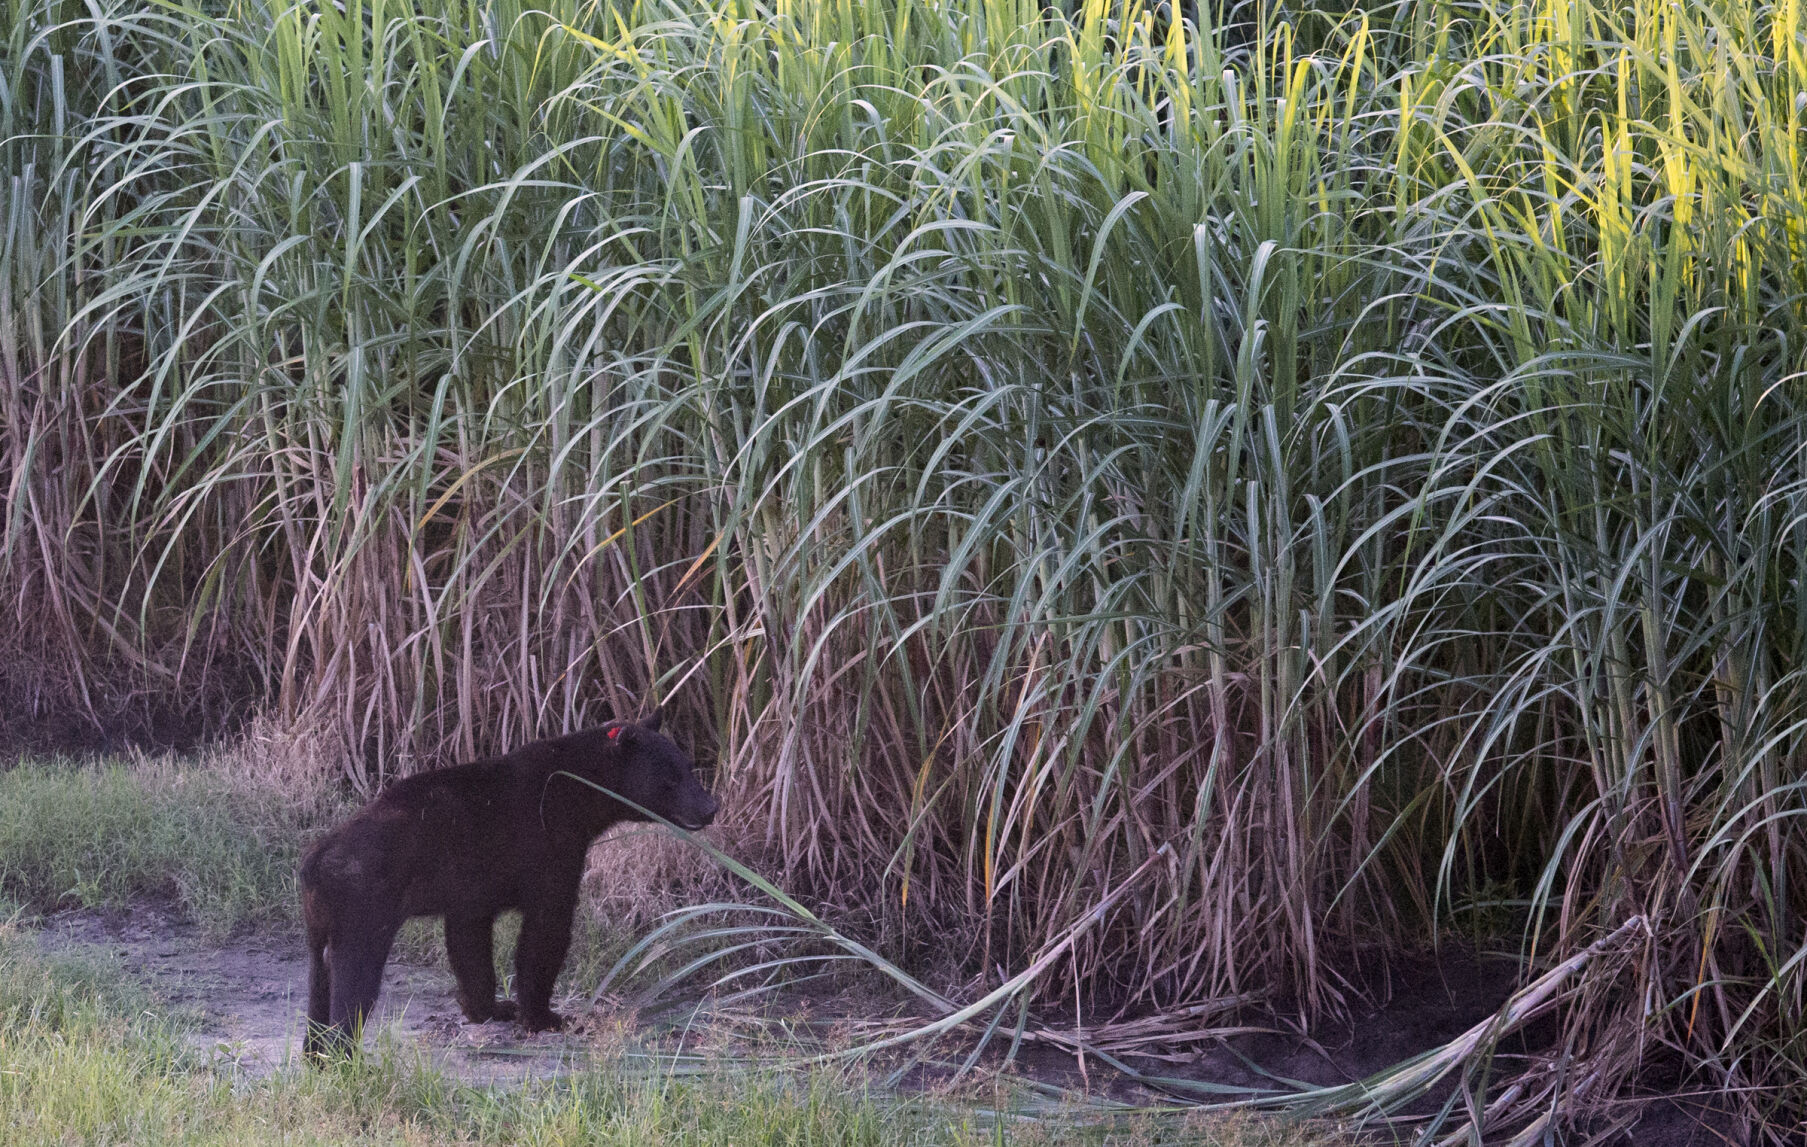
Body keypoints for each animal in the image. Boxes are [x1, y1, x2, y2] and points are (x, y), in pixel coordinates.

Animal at [299, 709, 717, 1059]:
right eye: (671, 778)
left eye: (689, 767)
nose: (710, 808)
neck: (578, 792)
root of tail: (316, 859)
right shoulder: (551, 849)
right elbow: (546, 932)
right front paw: (545, 1017)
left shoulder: (470, 890)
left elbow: (469, 941)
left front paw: (492, 1008)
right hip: (362, 907)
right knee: (353, 983)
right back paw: (344, 1058)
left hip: (320, 923)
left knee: (319, 984)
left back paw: (314, 1055)